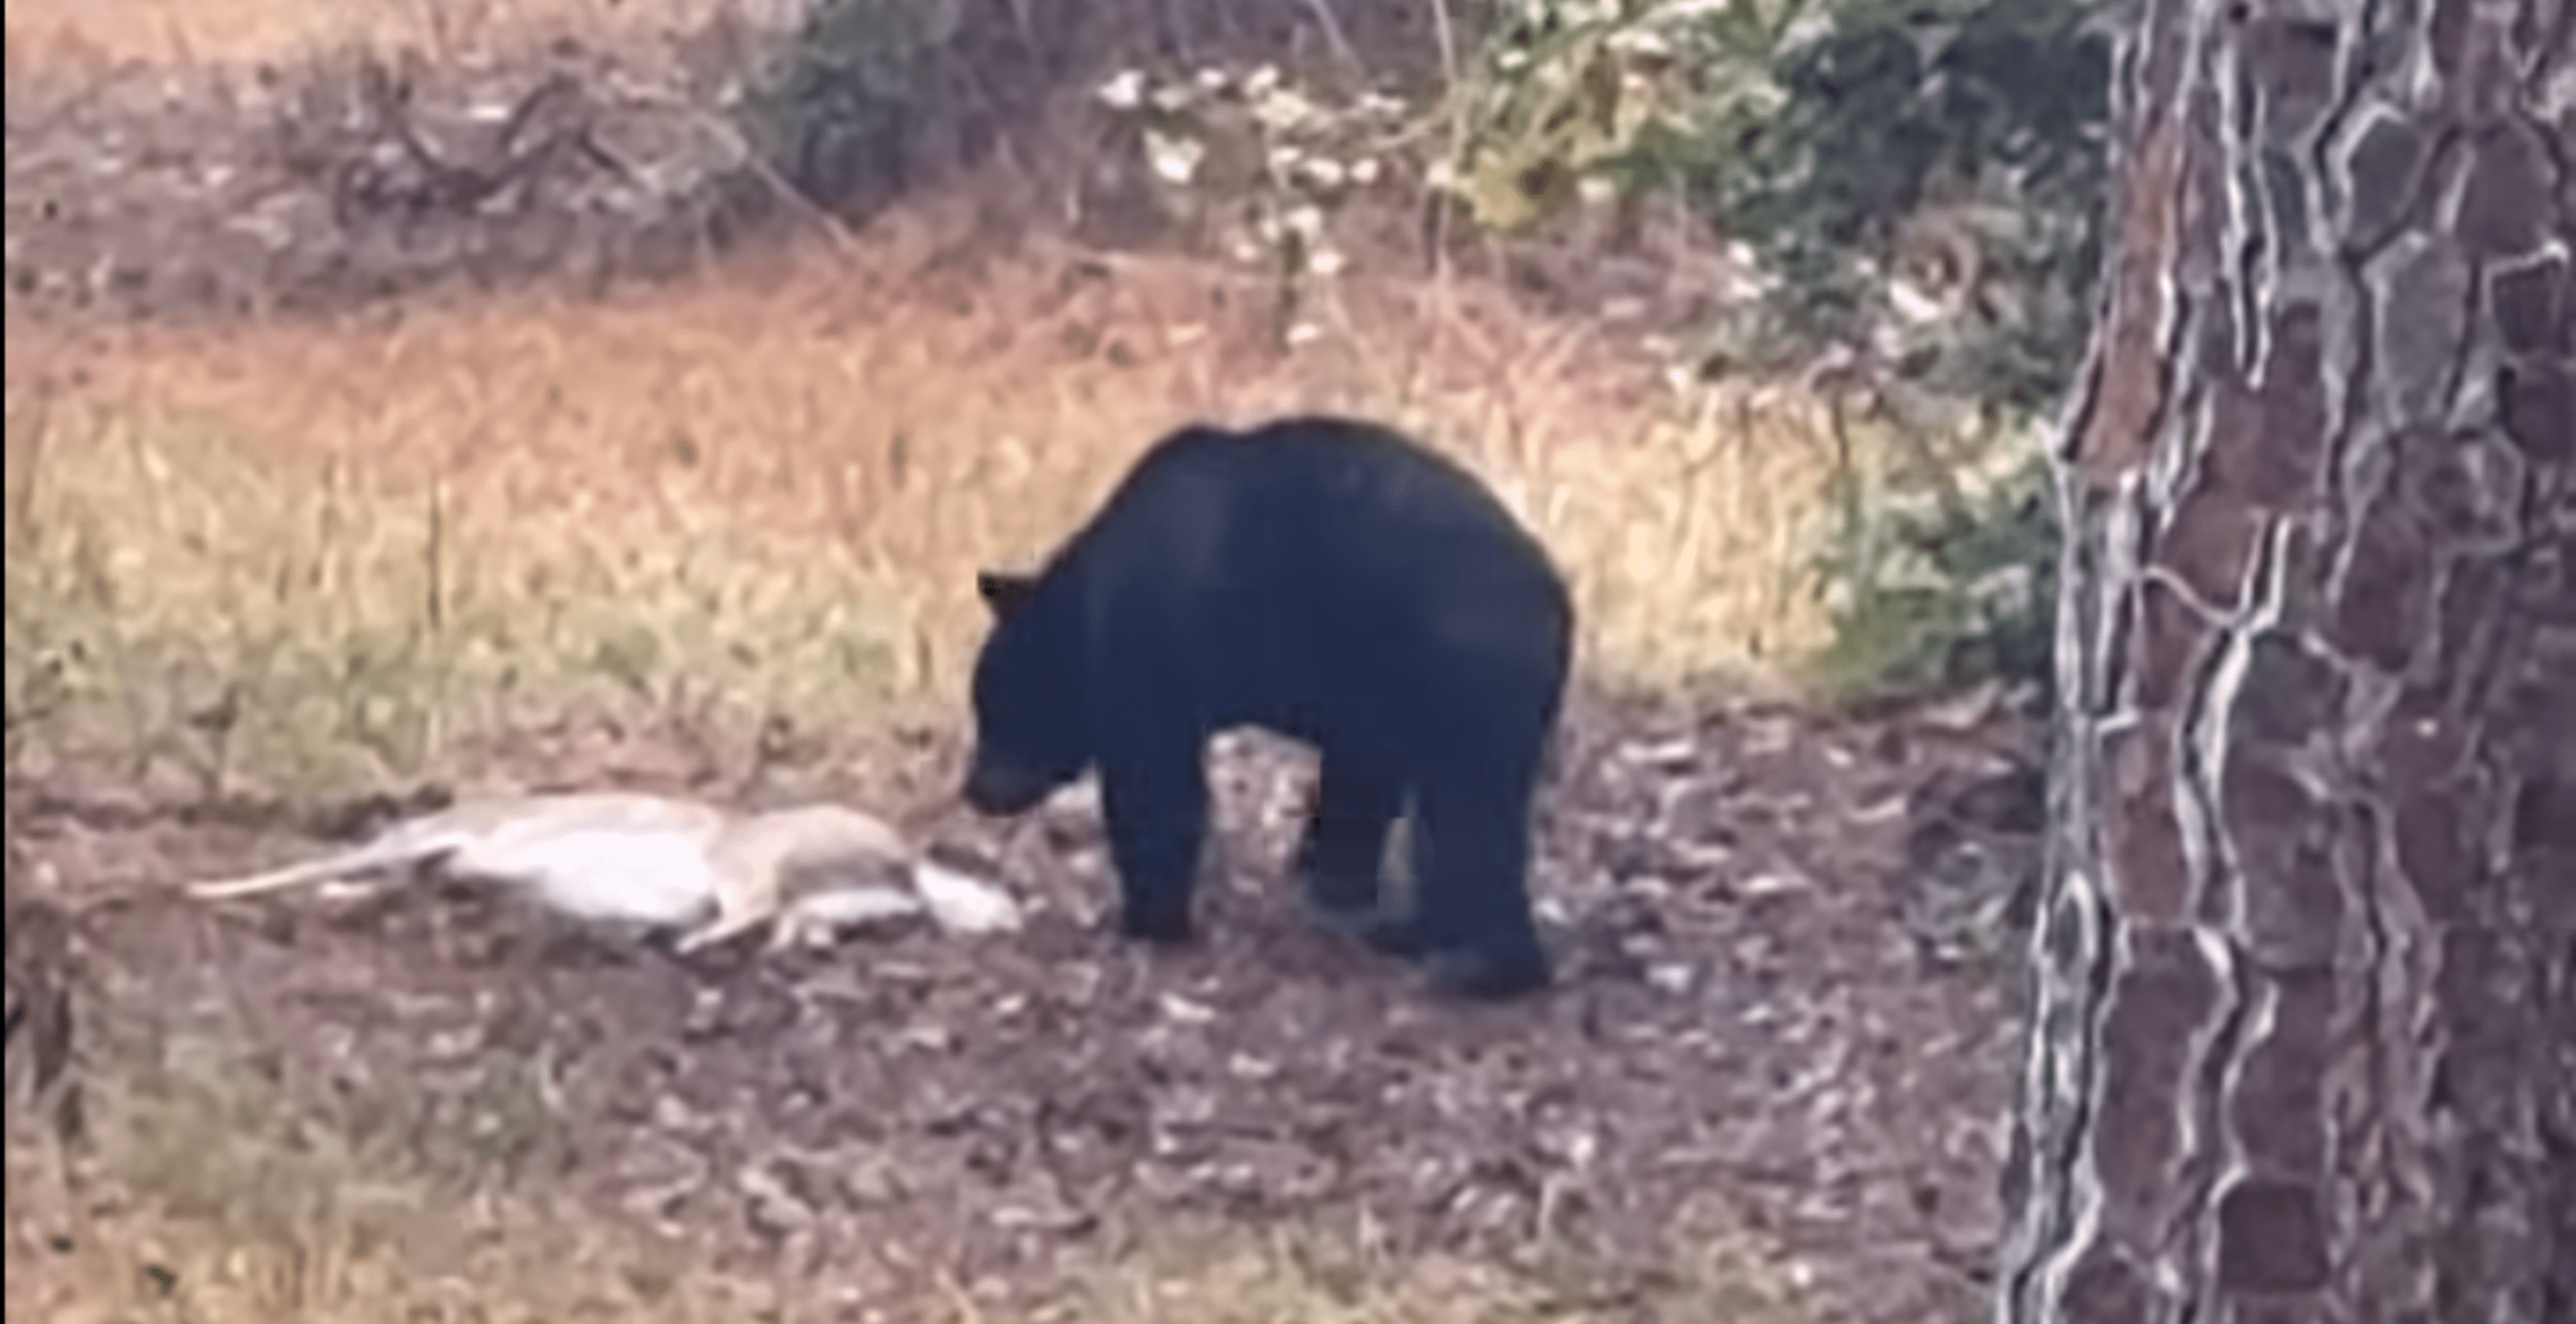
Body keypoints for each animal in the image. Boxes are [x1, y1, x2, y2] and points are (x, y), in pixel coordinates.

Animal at [960, 414, 1574, 1000]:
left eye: (993, 706)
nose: (974, 790)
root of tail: (1557, 602)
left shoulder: (1156, 648)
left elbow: (1155, 783)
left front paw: (1149, 919)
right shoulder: (1371, 700)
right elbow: (1359, 783)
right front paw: (1328, 884)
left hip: (1468, 677)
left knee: (1473, 815)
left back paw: (1485, 969)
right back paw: (1412, 933)